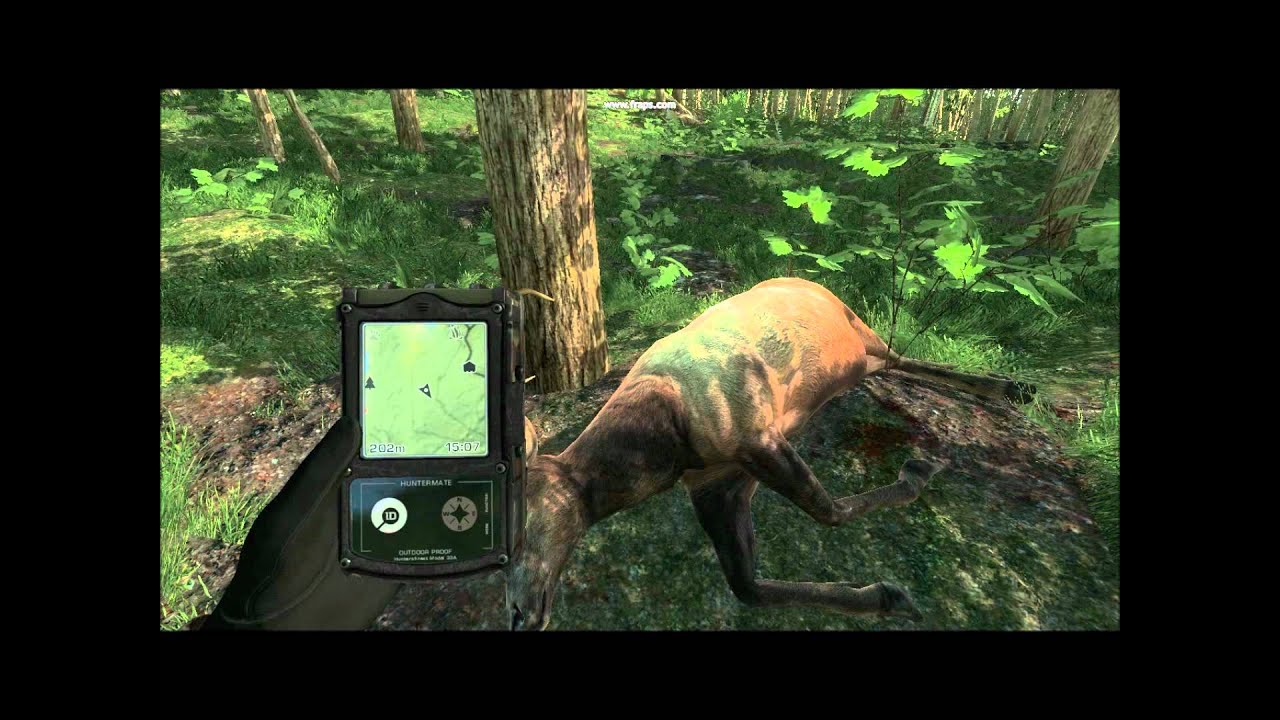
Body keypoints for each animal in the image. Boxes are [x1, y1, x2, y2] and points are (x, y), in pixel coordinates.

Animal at [507, 277, 1034, 630]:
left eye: (519, 524)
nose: (518, 614)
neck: (668, 437)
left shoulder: (758, 437)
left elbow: (829, 512)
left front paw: (918, 472)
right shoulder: (719, 482)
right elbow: (747, 586)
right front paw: (887, 596)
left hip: (855, 324)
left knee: (900, 356)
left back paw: (1012, 386)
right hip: (859, 357)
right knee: (890, 365)